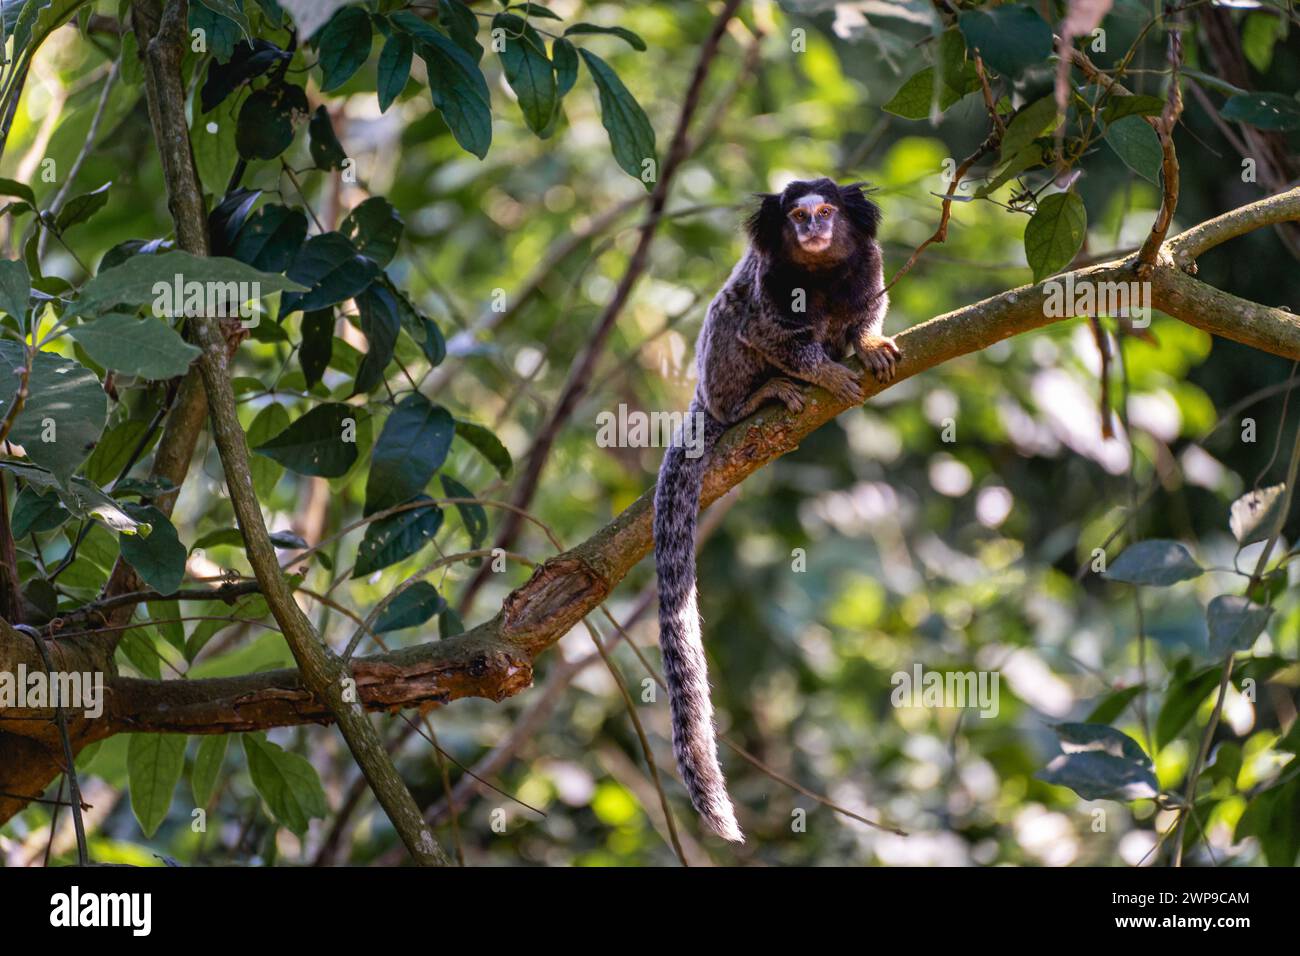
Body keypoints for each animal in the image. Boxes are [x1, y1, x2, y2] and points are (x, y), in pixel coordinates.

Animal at [653, 178, 898, 843]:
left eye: (827, 212)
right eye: (796, 217)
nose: (812, 229)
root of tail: (702, 399)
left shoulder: (870, 267)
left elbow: (865, 315)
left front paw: (866, 345)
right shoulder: (768, 288)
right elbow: (766, 332)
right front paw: (824, 374)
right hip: (717, 379)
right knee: (728, 321)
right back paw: (760, 397)